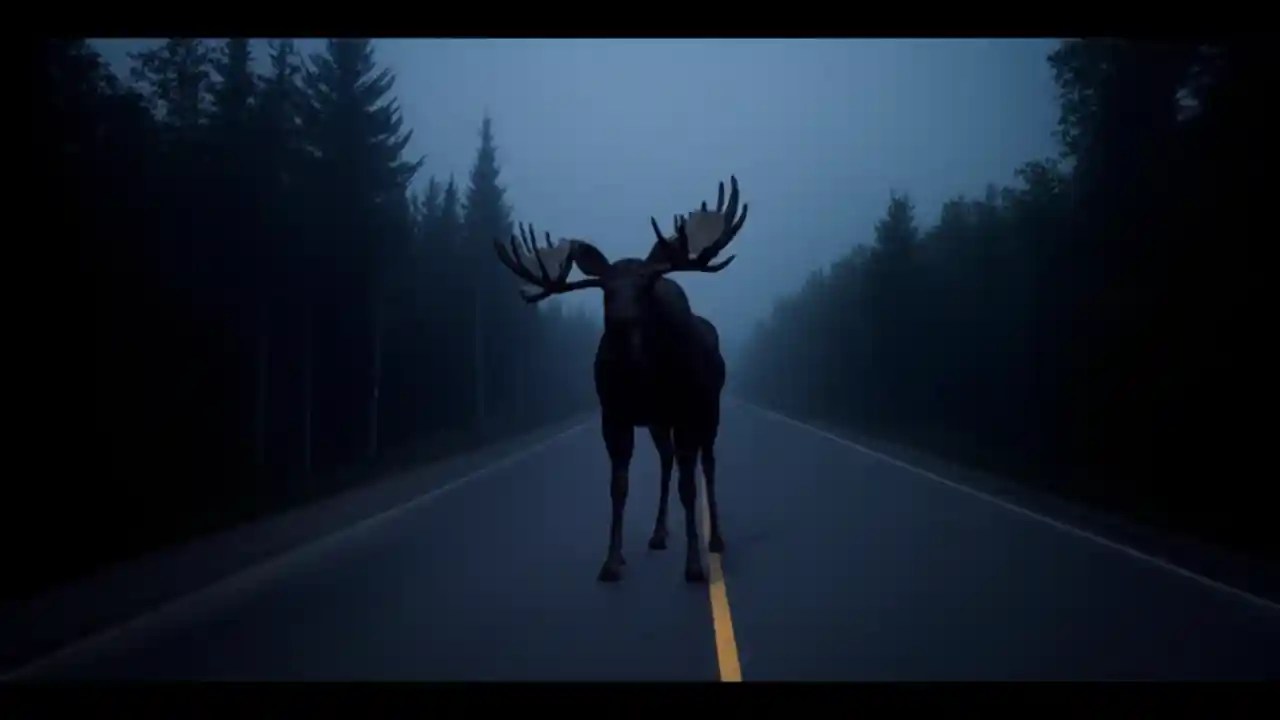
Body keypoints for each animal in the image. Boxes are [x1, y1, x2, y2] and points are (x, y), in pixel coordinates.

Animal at [492, 176, 749, 584]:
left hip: (708, 410)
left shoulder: (684, 411)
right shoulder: (613, 414)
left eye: (646, 285)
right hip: (659, 422)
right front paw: (612, 560)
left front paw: (694, 565)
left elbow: (689, 488)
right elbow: (619, 487)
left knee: (706, 464)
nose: (621, 323)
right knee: (666, 460)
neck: (642, 375)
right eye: (605, 289)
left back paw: (716, 539)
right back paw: (658, 533)